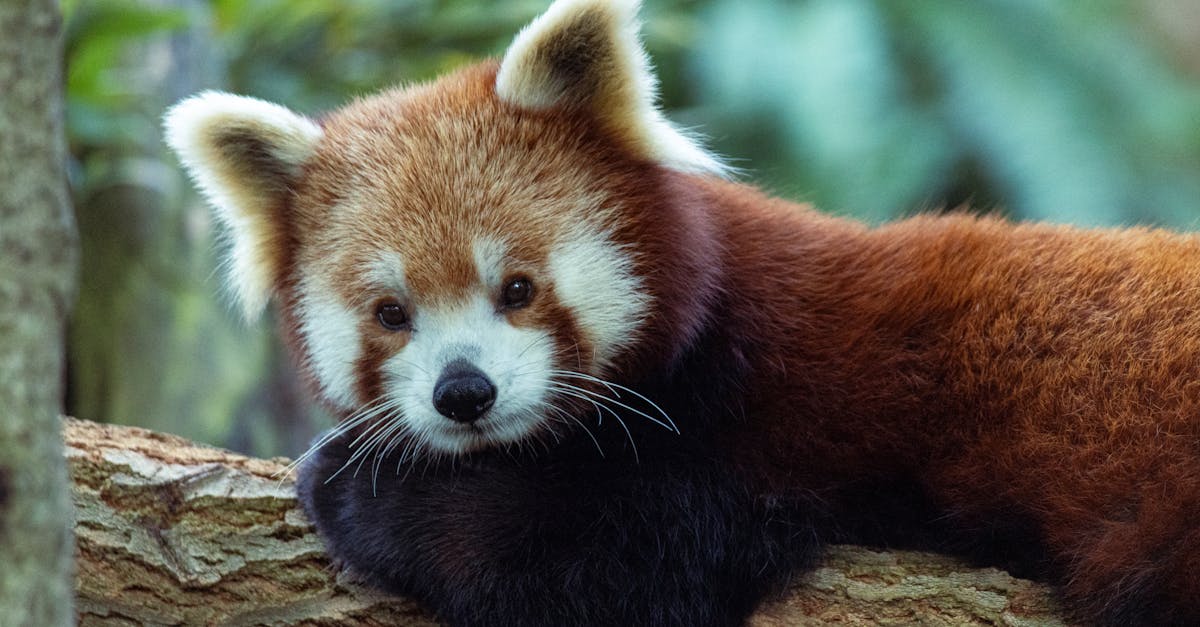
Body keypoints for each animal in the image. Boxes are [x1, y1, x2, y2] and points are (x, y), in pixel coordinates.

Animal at [164, 1, 1200, 624]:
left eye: (517, 287)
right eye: (391, 312)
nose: (464, 392)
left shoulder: (776, 419)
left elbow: (613, 560)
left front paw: (353, 486)